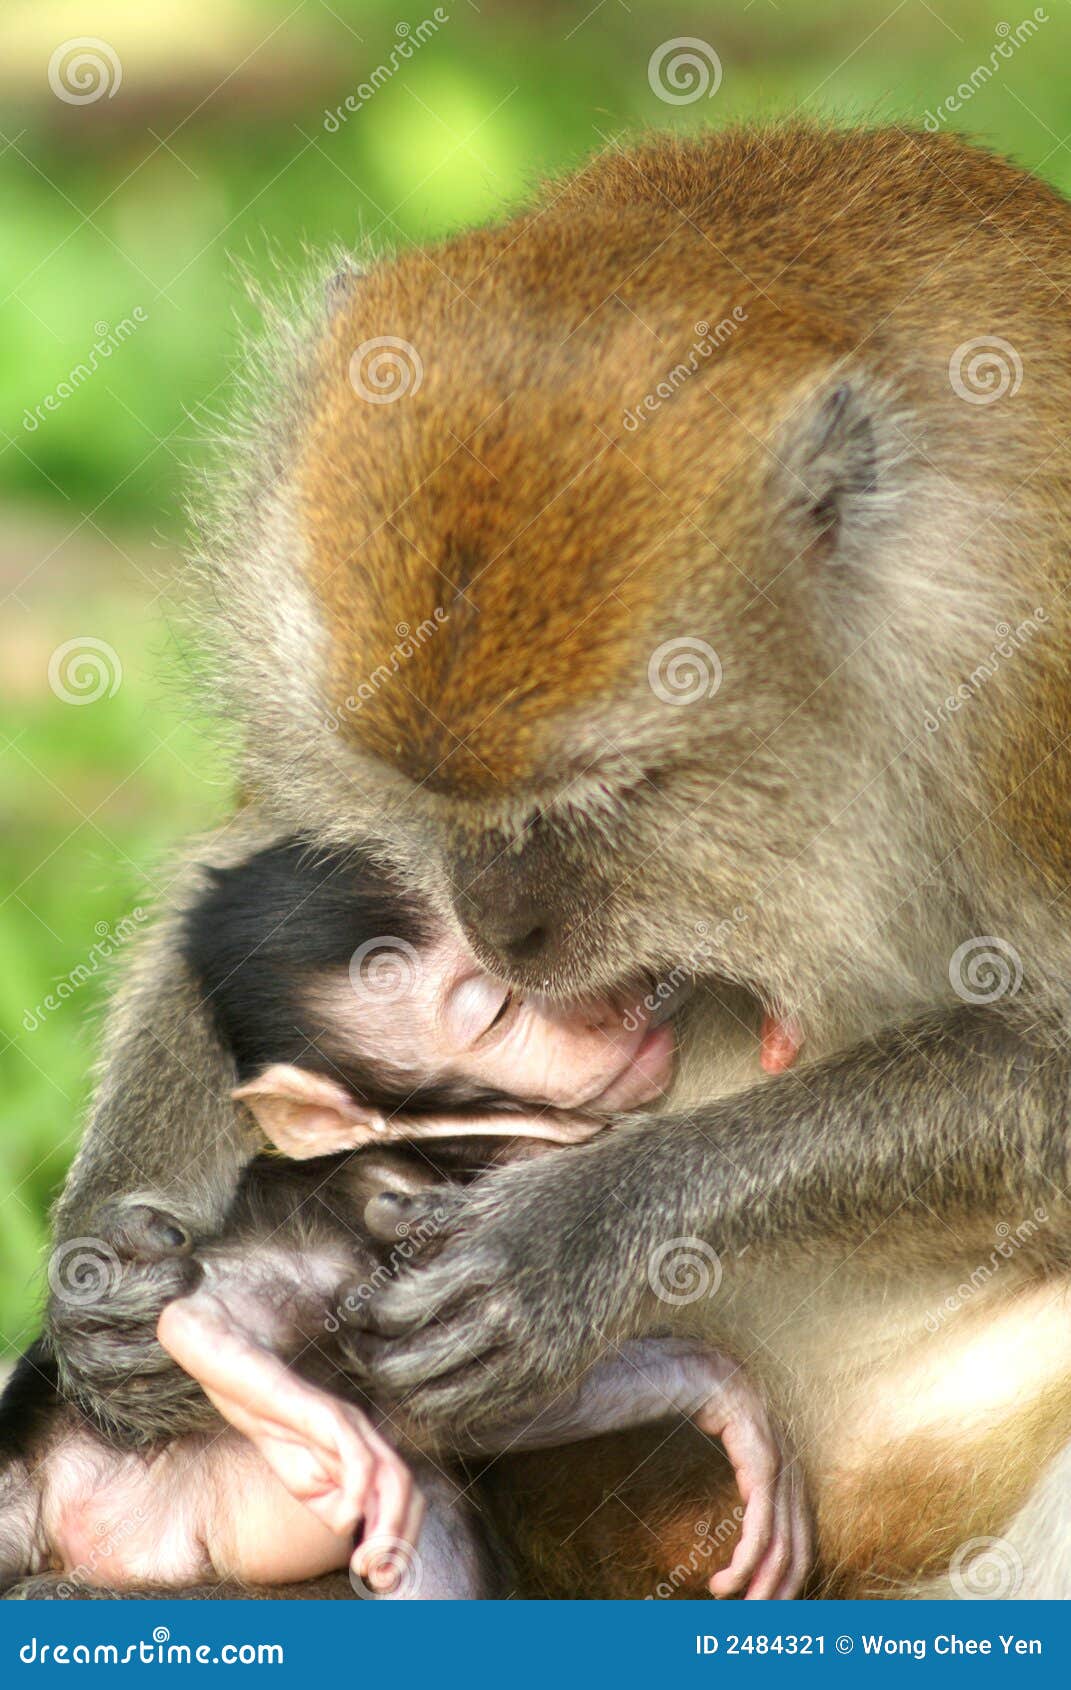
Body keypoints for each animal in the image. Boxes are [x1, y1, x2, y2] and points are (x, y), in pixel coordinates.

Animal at [36, 119, 1071, 1596]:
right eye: (415, 799)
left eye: (609, 798)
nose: (505, 934)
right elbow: (242, 880)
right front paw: (102, 1264)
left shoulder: (1024, 687)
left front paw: (579, 1235)